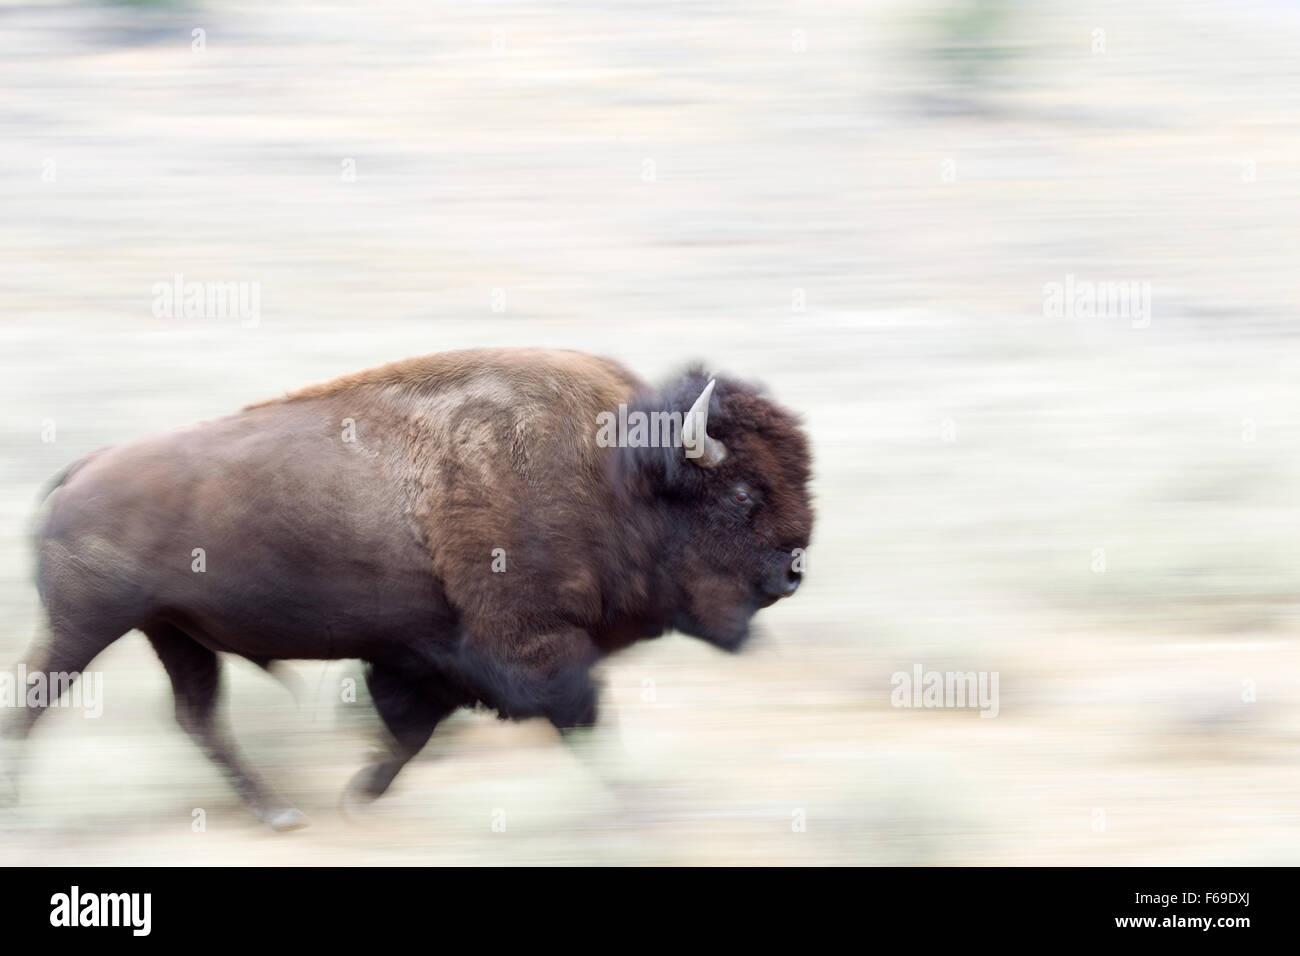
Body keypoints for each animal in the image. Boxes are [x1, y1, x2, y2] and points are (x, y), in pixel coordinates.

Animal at [2, 348, 813, 828]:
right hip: (88, 626)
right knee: (37, 699)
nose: (792, 571)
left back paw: (279, 813)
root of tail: (82, 469)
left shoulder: (419, 656)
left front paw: (360, 793)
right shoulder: (528, 646)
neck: (615, 475)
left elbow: (412, 729)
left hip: (173, 632)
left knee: (197, 717)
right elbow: (580, 717)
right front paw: (635, 808)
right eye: (742, 493)